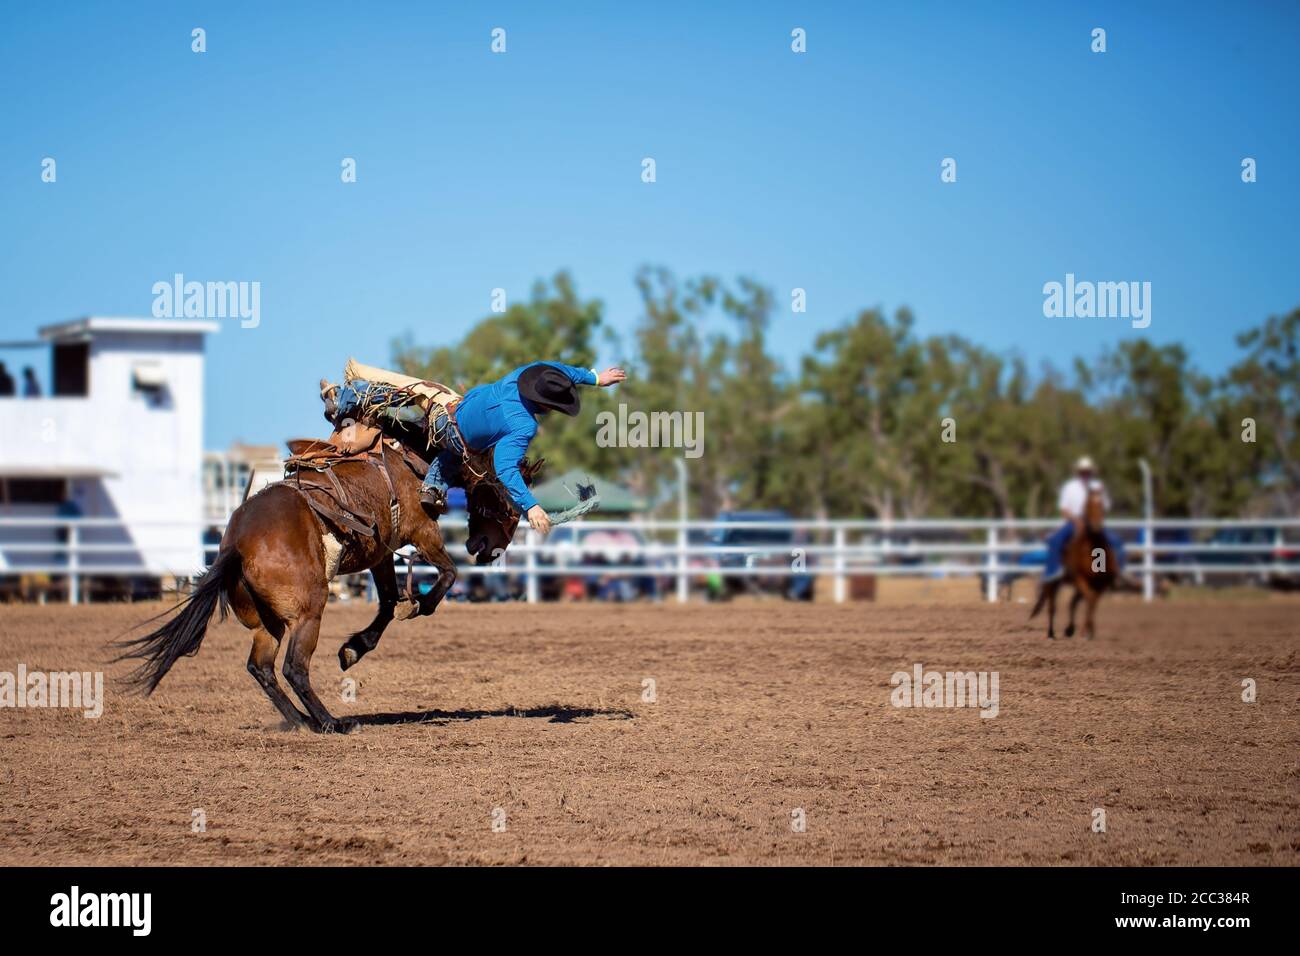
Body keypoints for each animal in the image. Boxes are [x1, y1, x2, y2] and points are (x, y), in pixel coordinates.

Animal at [115, 432, 536, 732]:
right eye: (510, 506)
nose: (489, 550)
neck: (414, 463)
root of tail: (236, 543)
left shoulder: (381, 553)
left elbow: (386, 602)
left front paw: (354, 648)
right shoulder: (421, 530)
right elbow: (447, 574)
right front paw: (419, 604)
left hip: (267, 622)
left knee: (261, 667)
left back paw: (301, 722)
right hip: (308, 611)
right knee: (293, 667)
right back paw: (333, 722)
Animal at [1029, 488, 1116, 640]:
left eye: (1102, 506)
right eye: (1088, 505)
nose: (1096, 526)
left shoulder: (1102, 583)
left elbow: (1092, 602)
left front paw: (1089, 631)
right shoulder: (1079, 578)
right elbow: (1090, 599)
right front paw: (1086, 632)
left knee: (1072, 602)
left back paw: (1070, 629)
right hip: (1053, 583)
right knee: (1052, 606)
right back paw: (1051, 633)